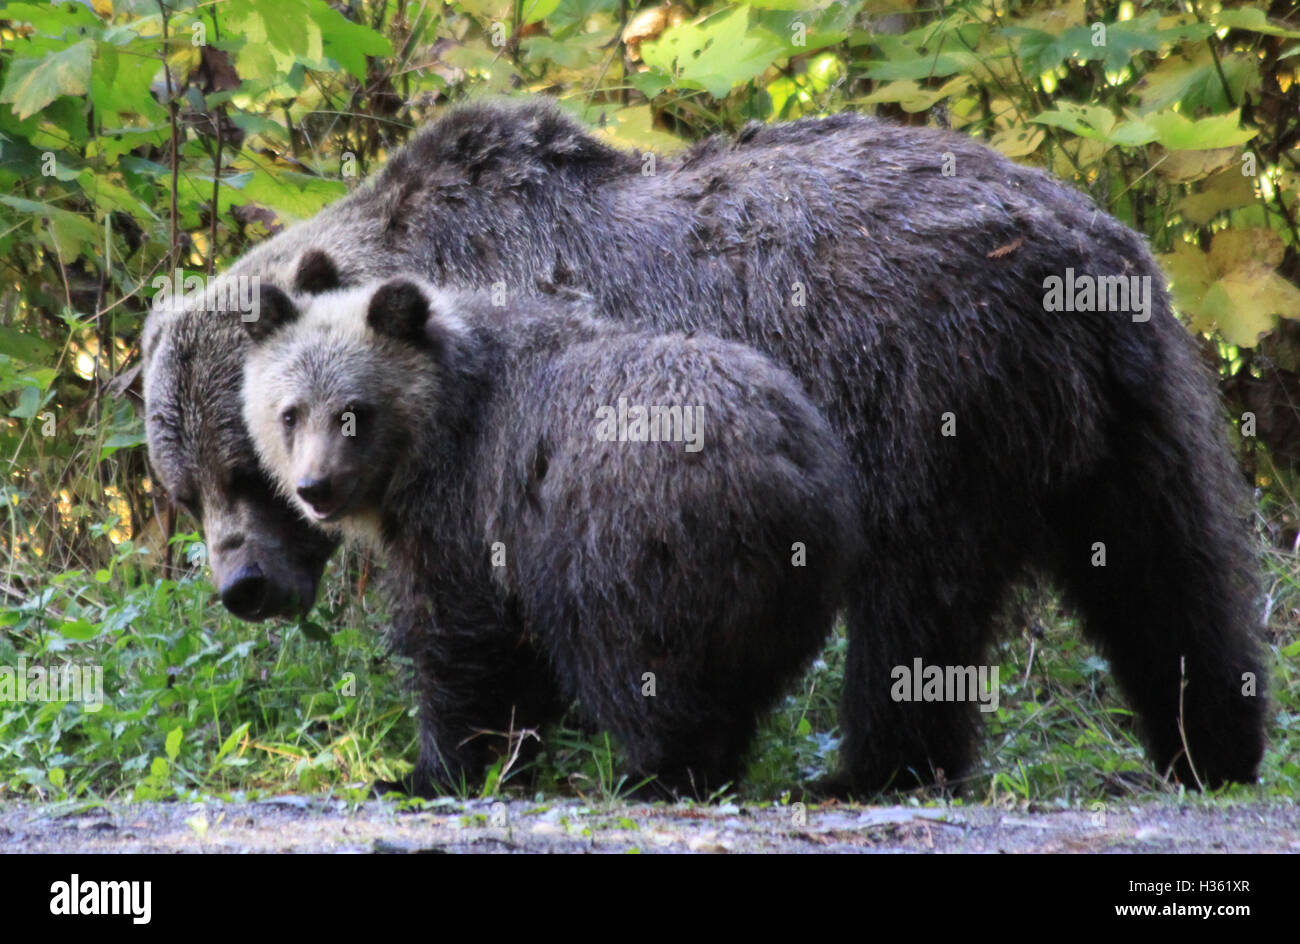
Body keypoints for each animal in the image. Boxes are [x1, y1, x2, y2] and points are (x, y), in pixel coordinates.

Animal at [236, 277, 861, 795]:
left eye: (354, 412)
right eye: (291, 413)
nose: (316, 487)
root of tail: (777, 453)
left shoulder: (470, 515)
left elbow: (457, 646)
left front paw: (424, 772)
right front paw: (512, 758)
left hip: (633, 543)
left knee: (639, 663)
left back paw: (653, 773)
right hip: (794, 578)